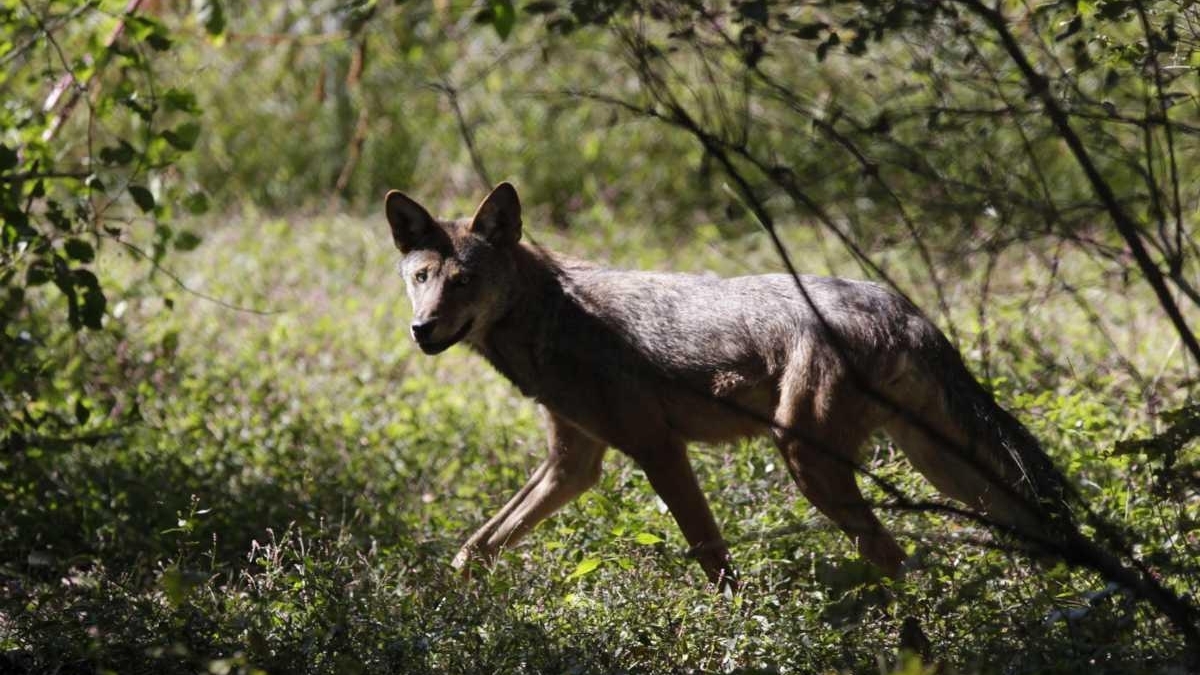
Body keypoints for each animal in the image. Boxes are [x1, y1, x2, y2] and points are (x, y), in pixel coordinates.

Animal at [383, 182, 1072, 589]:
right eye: (421, 277)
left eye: (465, 281)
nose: (422, 329)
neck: (552, 317)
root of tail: (899, 304)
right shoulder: (573, 463)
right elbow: (476, 548)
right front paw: (440, 607)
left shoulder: (657, 449)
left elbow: (713, 560)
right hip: (939, 470)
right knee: (1030, 529)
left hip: (809, 463)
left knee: (895, 558)